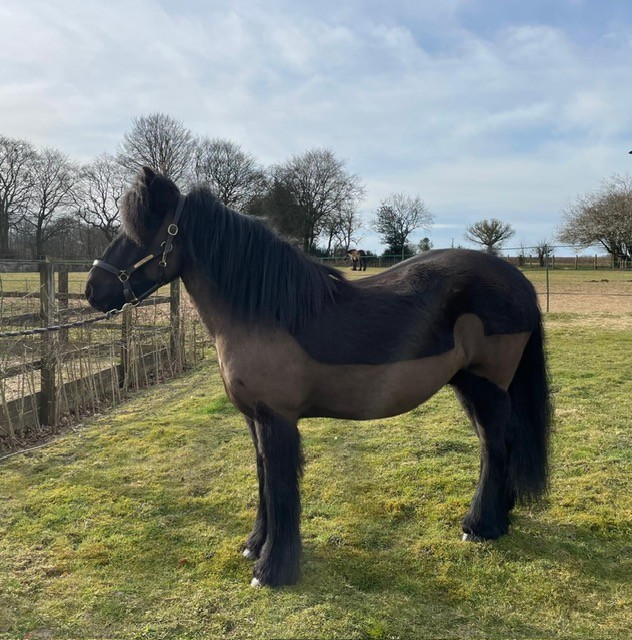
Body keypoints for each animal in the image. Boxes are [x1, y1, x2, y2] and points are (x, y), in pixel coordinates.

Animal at [85, 167, 552, 588]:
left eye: (142, 232)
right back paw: (500, 516)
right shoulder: (254, 419)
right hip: (469, 386)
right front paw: (255, 545)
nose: (92, 290)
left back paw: (480, 526)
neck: (263, 313)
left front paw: (272, 570)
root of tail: (518, 280)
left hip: (486, 385)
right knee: (500, 444)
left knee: (495, 445)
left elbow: (280, 486)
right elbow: (263, 478)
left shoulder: (277, 420)